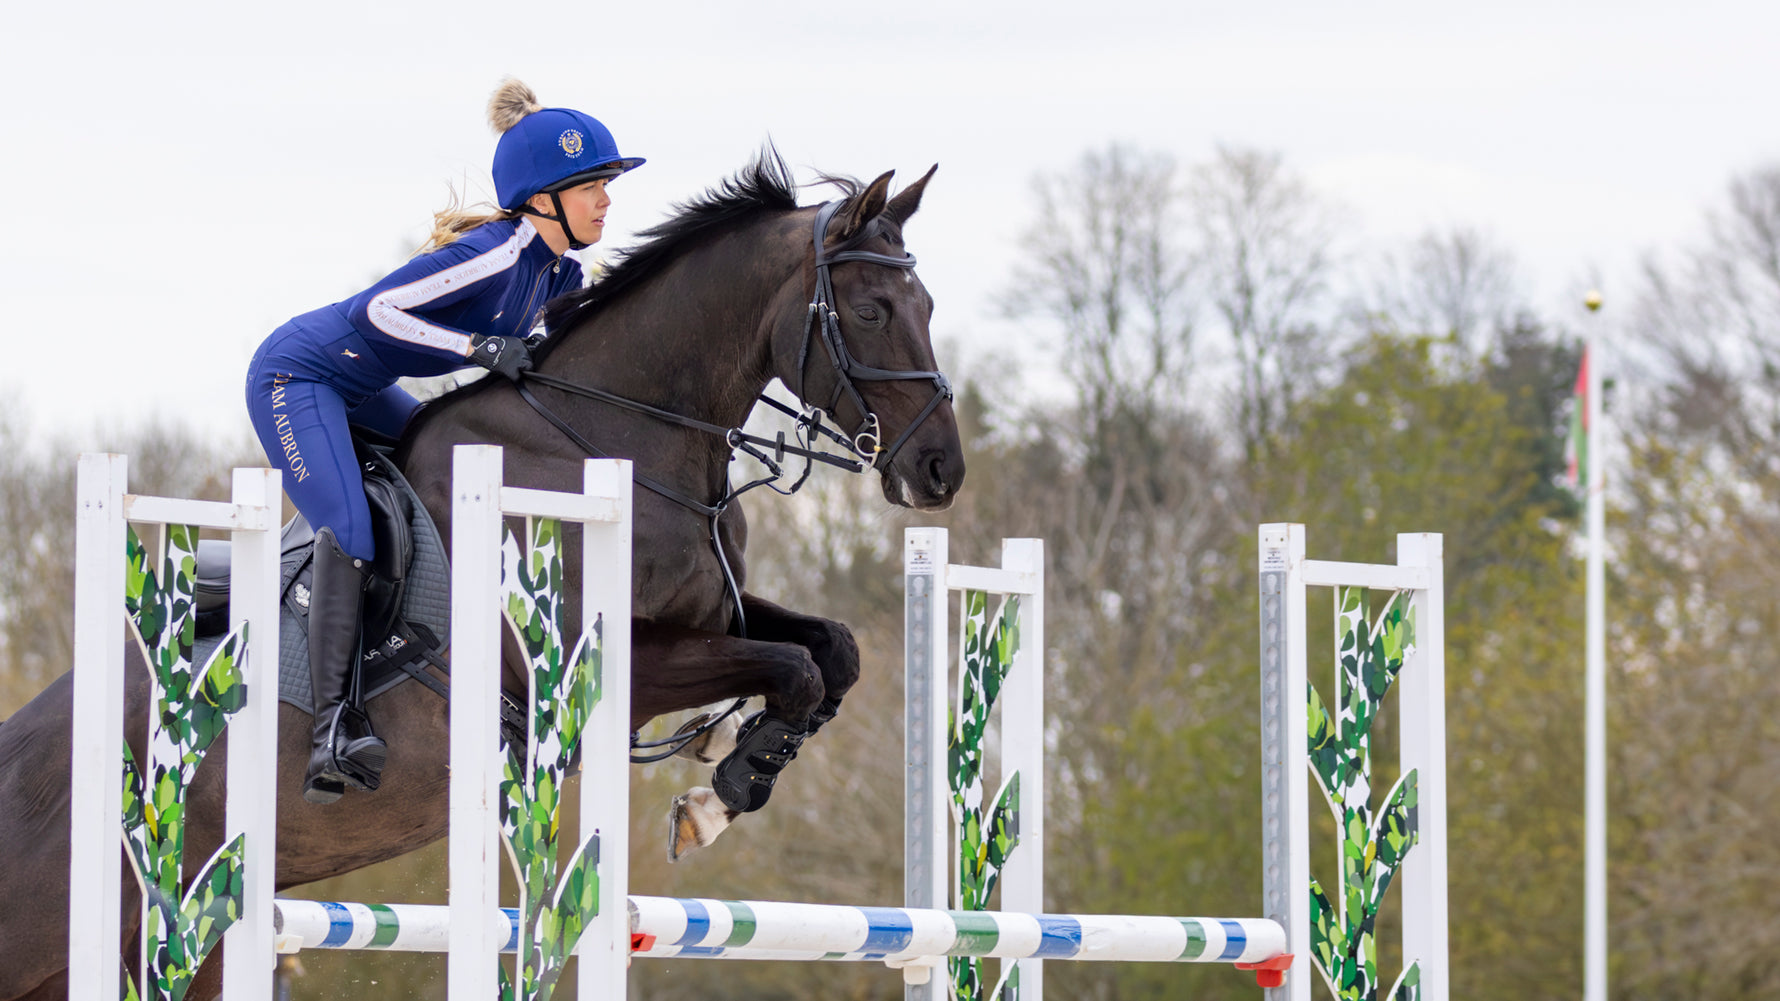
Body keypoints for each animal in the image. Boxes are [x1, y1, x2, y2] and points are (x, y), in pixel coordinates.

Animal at [0, 149, 963, 1001]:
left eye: (927, 301)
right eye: (871, 309)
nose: (941, 472)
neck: (611, 436)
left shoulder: (713, 615)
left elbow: (832, 652)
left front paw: (727, 775)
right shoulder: (611, 665)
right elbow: (794, 667)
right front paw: (721, 783)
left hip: (184, 937)